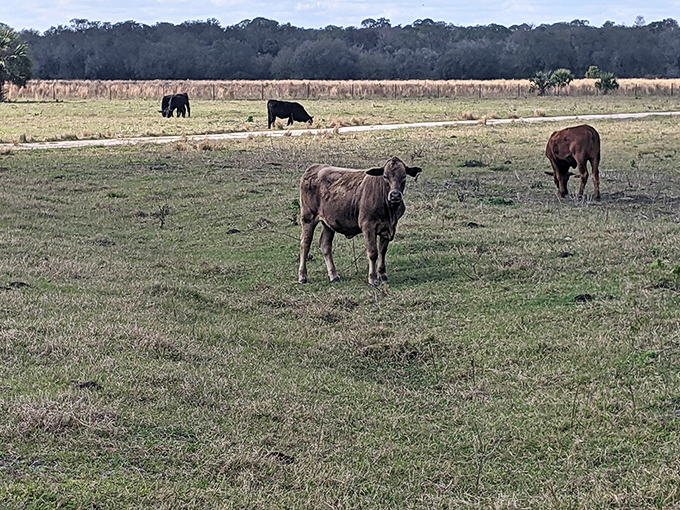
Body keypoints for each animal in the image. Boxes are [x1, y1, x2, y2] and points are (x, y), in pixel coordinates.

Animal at [298, 157, 422, 286]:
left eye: (403, 176)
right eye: (385, 176)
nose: (395, 195)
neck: (389, 211)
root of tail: (315, 167)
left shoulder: (388, 227)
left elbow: (382, 251)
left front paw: (382, 274)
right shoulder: (368, 226)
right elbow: (373, 252)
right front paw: (373, 278)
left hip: (329, 222)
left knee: (325, 244)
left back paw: (334, 275)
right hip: (308, 218)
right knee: (305, 243)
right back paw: (303, 276)